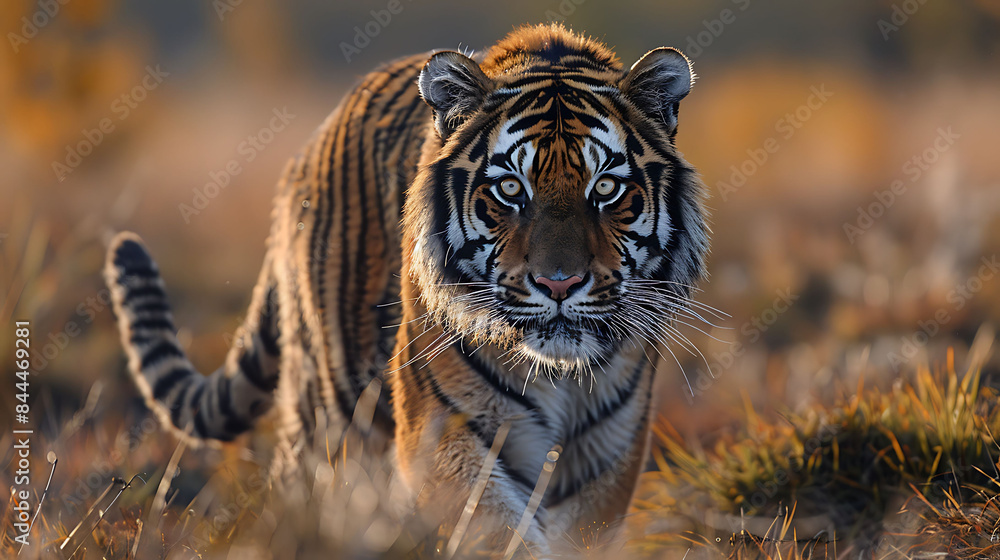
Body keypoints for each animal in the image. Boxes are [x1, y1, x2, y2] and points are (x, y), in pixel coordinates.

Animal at [104, 23, 710, 555]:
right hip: (328, 412)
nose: (557, 283)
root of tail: (306, 152)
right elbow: (498, 533)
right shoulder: (441, 430)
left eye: (606, 188)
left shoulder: (606, 459)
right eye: (511, 189)